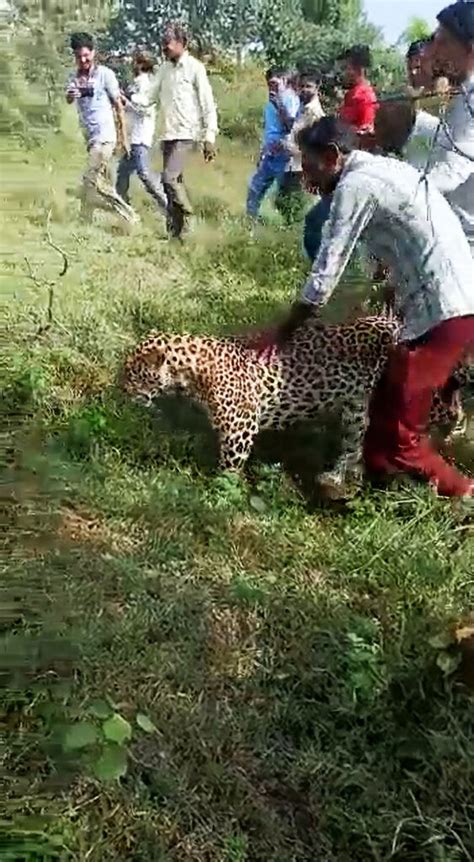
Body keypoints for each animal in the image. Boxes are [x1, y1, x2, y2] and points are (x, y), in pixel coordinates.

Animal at [121, 316, 472, 489]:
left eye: (132, 374)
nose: (122, 391)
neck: (191, 372)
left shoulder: (240, 429)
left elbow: (229, 468)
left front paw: (218, 494)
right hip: (356, 408)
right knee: (355, 442)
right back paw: (337, 477)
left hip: (421, 391)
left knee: (454, 410)